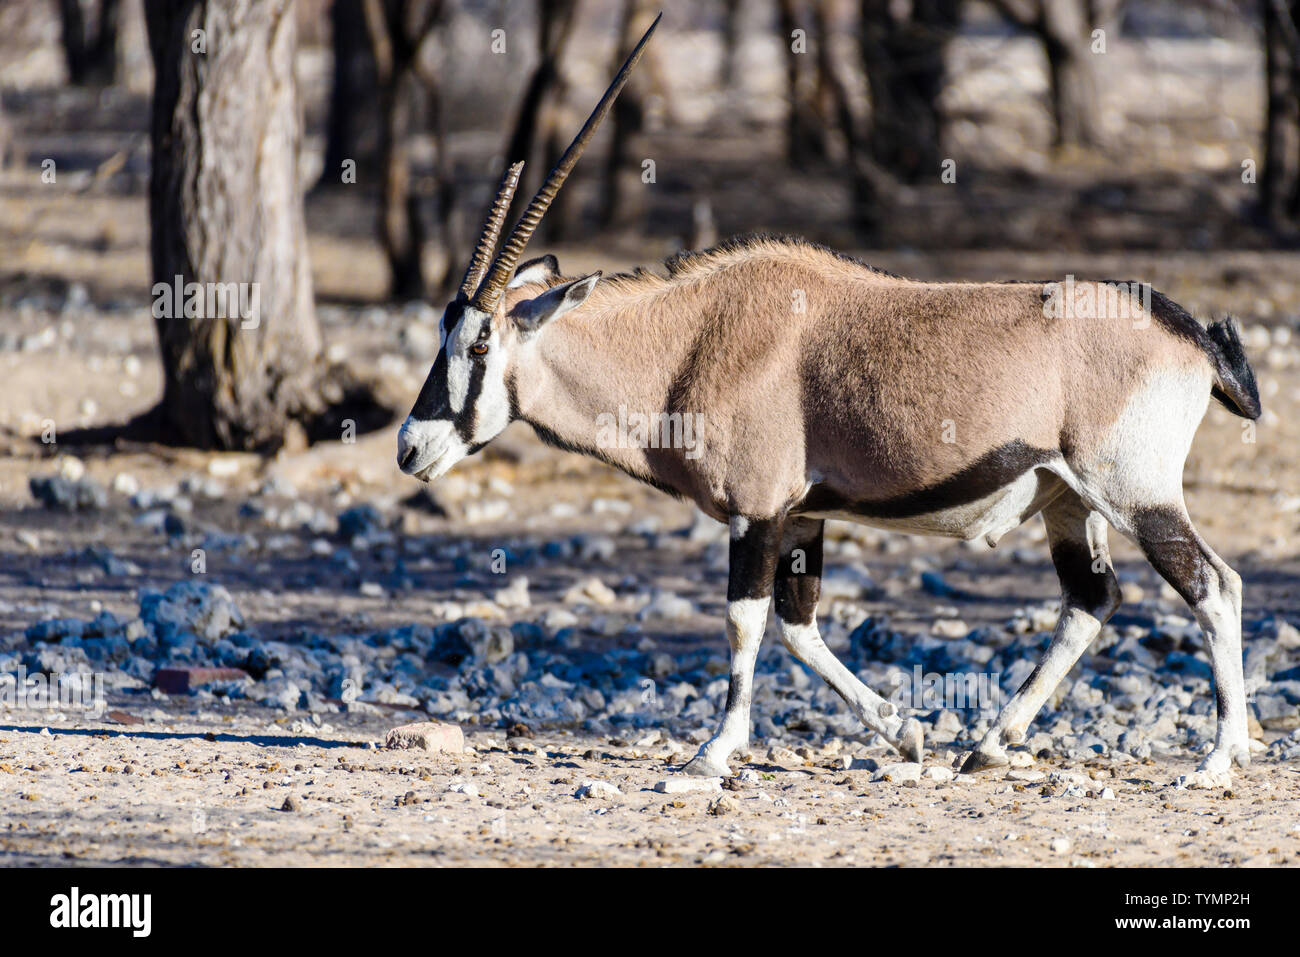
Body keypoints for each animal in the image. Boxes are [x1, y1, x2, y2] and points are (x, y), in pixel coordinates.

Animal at [397, 15, 1262, 779]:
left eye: (479, 344)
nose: (410, 445)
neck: (690, 337)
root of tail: (1193, 334)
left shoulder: (756, 510)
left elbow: (745, 620)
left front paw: (713, 752)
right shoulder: (802, 511)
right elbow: (798, 624)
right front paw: (906, 732)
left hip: (1136, 492)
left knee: (1213, 587)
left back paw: (1217, 759)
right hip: (1066, 498)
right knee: (1091, 599)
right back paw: (988, 744)